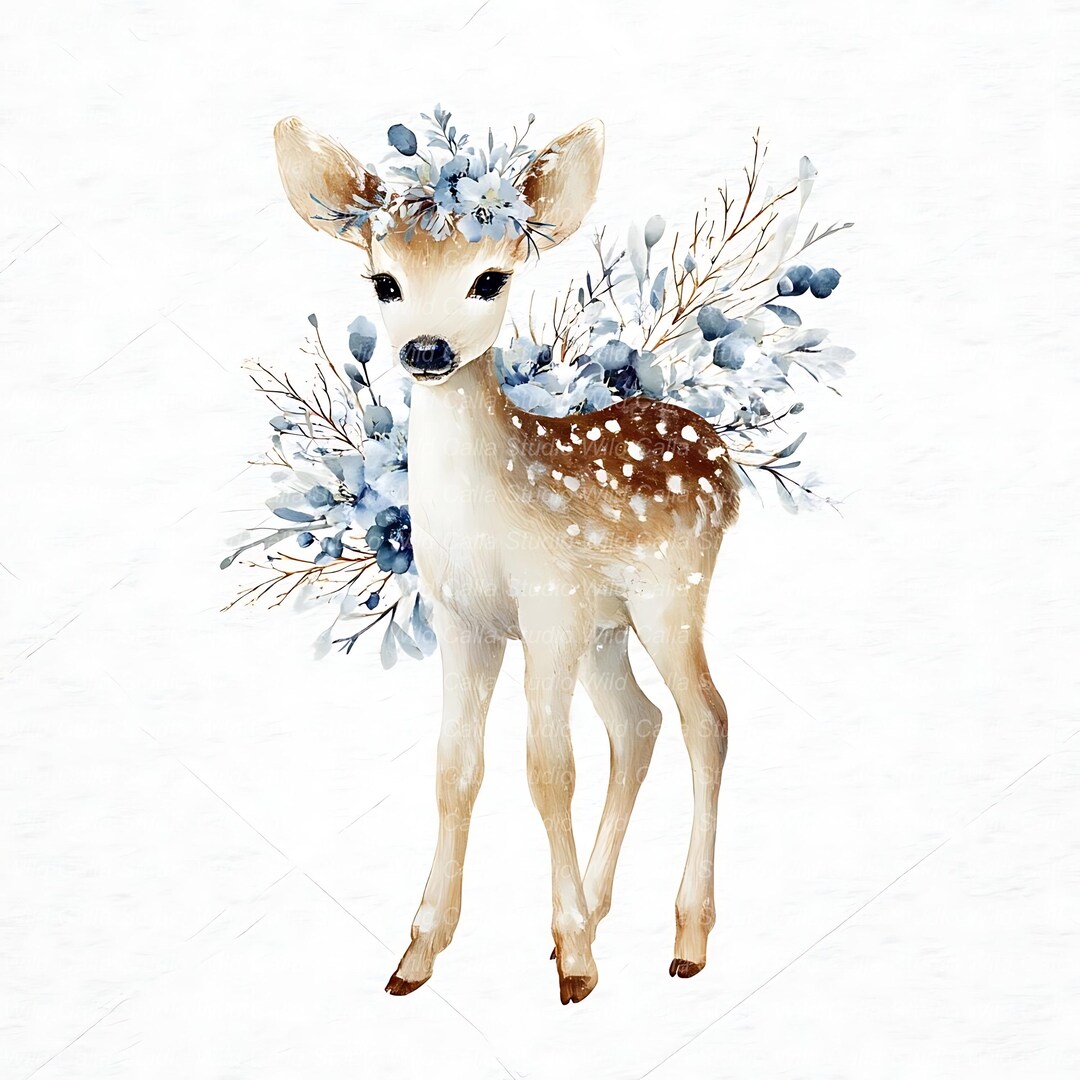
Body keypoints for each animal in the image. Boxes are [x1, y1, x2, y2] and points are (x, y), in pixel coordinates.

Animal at [273, 114, 740, 1005]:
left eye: (490, 279)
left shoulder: (548, 603)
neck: (489, 524)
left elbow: (547, 767)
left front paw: (579, 965)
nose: (426, 350)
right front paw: (418, 954)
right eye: (383, 282)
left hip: (673, 592)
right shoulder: (464, 619)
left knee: (707, 718)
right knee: (639, 723)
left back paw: (687, 939)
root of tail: (725, 461)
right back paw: (595, 911)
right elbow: (456, 767)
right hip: (607, 628)